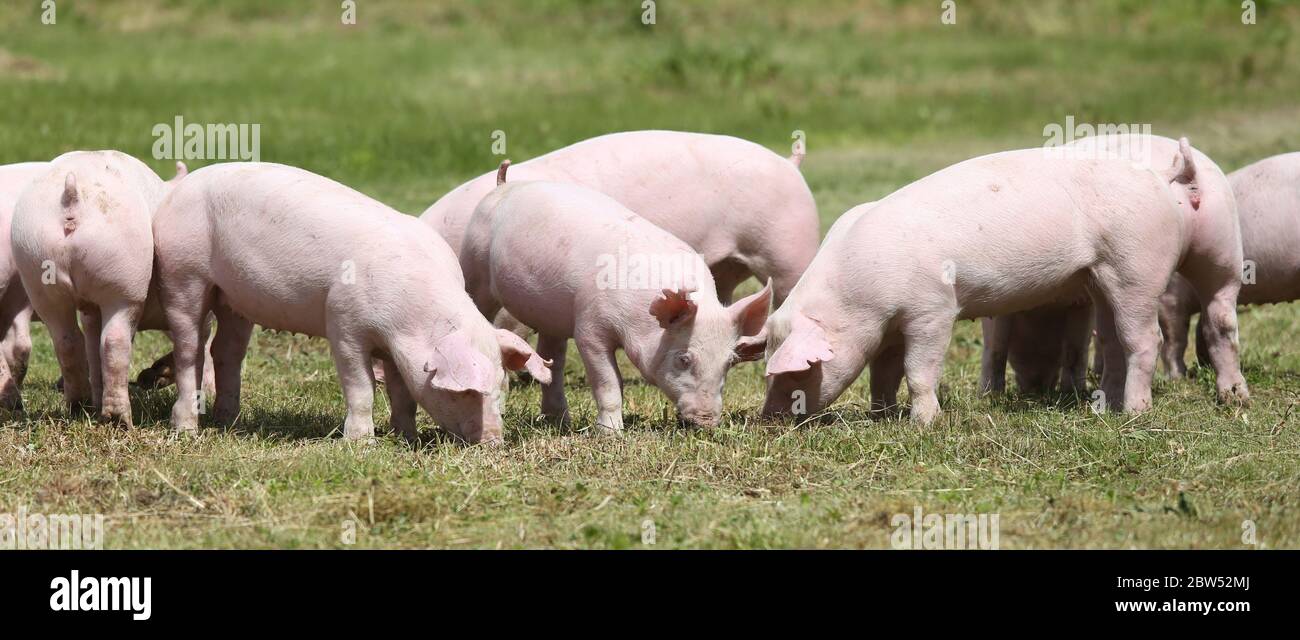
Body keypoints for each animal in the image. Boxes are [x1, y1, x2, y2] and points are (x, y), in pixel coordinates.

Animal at [151, 162, 549, 443]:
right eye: (465, 392)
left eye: (501, 386)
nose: (494, 442)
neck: (410, 321)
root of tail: (177, 192)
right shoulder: (343, 323)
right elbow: (361, 387)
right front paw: (362, 443)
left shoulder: (396, 347)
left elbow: (402, 392)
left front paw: (406, 437)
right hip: (184, 272)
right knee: (191, 348)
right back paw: (188, 429)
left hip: (233, 297)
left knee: (226, 350)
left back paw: (229, 422)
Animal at [458, 162, 772, 431]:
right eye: (683, 359)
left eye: (729, 362)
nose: (707, 421)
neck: (638, 317)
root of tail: (503, 185)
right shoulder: (589, 327)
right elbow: (608, 381)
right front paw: (611, 433)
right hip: (474, 266)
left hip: (552, 315)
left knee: (553, 360)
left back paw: (560, 421)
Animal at [750, 140, 1205, 424]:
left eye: (796, 372)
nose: (769, 418)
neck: (855, 296)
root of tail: (1158, 178)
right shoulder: (889, 324)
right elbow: (883, 370)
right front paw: (881, 414)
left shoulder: (932, 308)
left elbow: (918, 368)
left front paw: (923, 424)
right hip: (1100, 278)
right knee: (1111, 342)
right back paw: (1101, 409)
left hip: (1138, 268)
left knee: (1144, 340)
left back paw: (1134, 412)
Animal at [981, 135, 1250, 406]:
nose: (1035, 389)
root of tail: (1186, 170)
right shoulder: (1083, 299)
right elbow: (1076, 348)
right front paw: (1071, 391)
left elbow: (995, 345)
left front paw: (988, 395)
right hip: (1223, 244)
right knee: (1222, 319)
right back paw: (1235, 396)